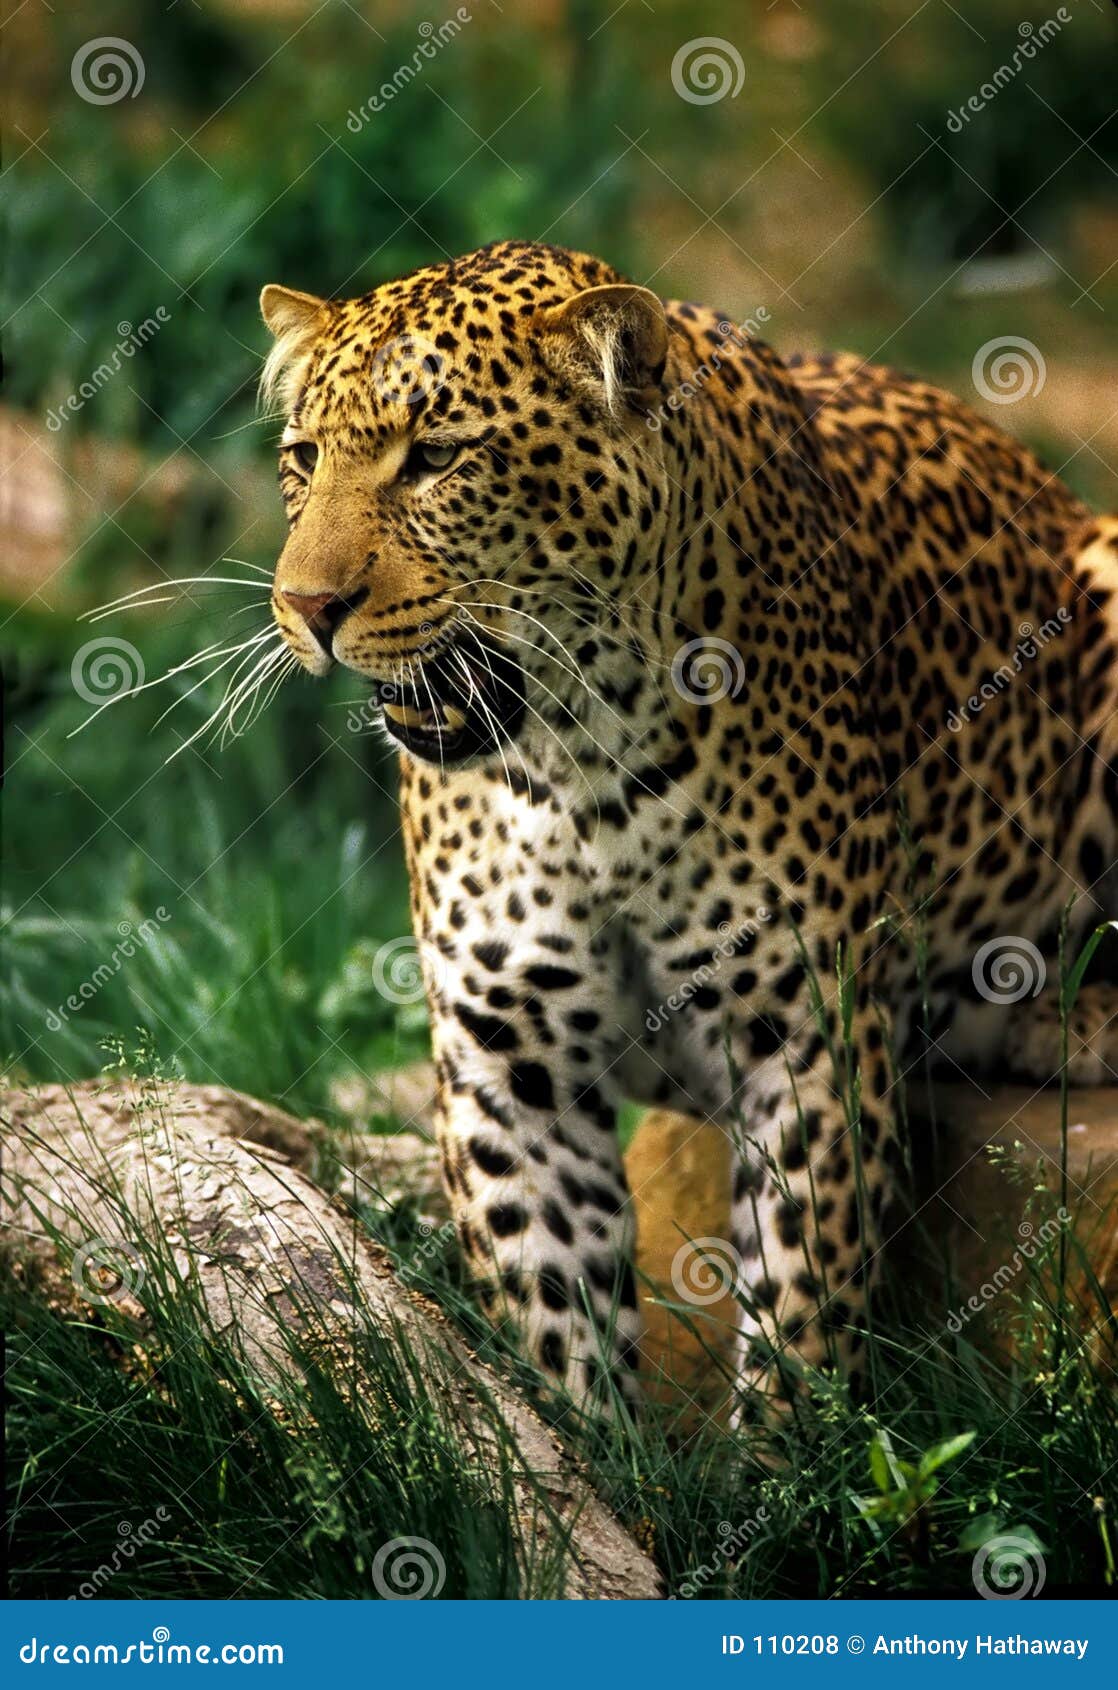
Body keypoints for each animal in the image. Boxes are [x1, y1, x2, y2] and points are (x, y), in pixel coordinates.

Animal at [259, 237, 1118, 1417]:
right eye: (303, 457)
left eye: (434, 457)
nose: (307, 607)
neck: (577, 766)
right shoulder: (506, 1063)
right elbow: (557, 1323)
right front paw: (592, 1462)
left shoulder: (806, 1038)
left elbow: (801, 1312)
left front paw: (789, 1464)